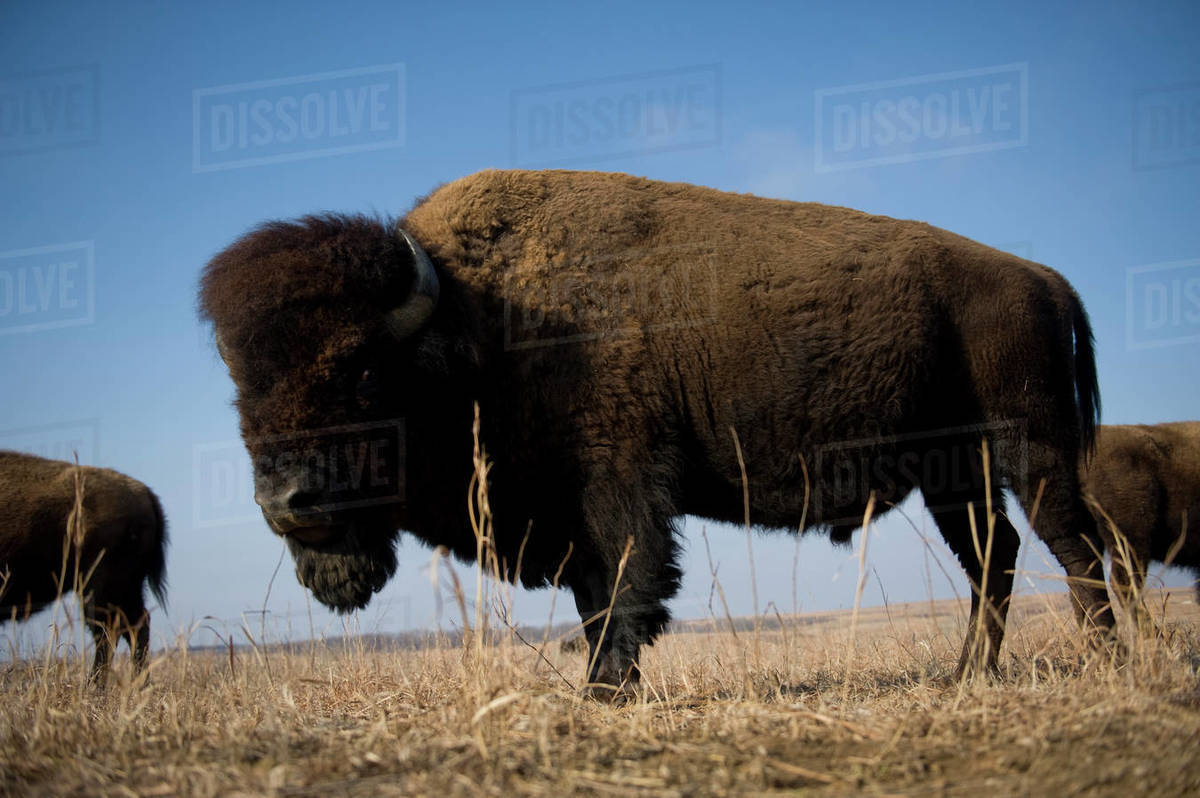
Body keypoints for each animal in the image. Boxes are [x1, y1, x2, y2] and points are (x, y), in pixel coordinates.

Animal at [0, 451, 167, 683]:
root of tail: (146, 493)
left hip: (99, 589)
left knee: (107, 632)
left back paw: (95, 686)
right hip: (127, 589)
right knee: (134, 627)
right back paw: (137, 684)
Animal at [200, 169, 1109, 695]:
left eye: (361, 371)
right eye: (242, 384)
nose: (287, 503)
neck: (475, 320)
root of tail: (1043, 278)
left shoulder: (621, 489)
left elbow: (628, 590)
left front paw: (603, 692)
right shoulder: (571, 520)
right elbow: (595, 600)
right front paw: (607, 689)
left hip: (1029, 448)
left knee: (1071, 542)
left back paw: (1106, 657)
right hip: (955, 472)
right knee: (994, 556)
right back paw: (968, 678)